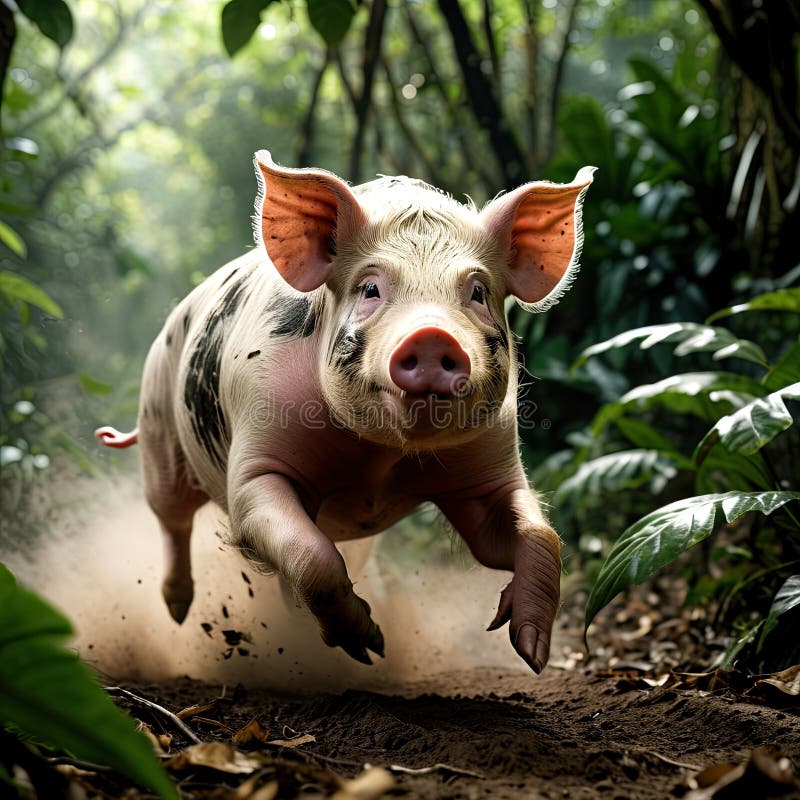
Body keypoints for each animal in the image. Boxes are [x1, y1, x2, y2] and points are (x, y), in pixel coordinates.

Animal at [96, 151, 594, 672]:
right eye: (370, 288)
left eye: (477, 292)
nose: (432, 335)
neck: (379, 460)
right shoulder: (257, 462)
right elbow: (306, 551)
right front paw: (370, 646)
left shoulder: (488, 467)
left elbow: (539, 535)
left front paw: (531, 651)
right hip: (157, 427)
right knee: (170, 517)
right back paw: (177, 609)